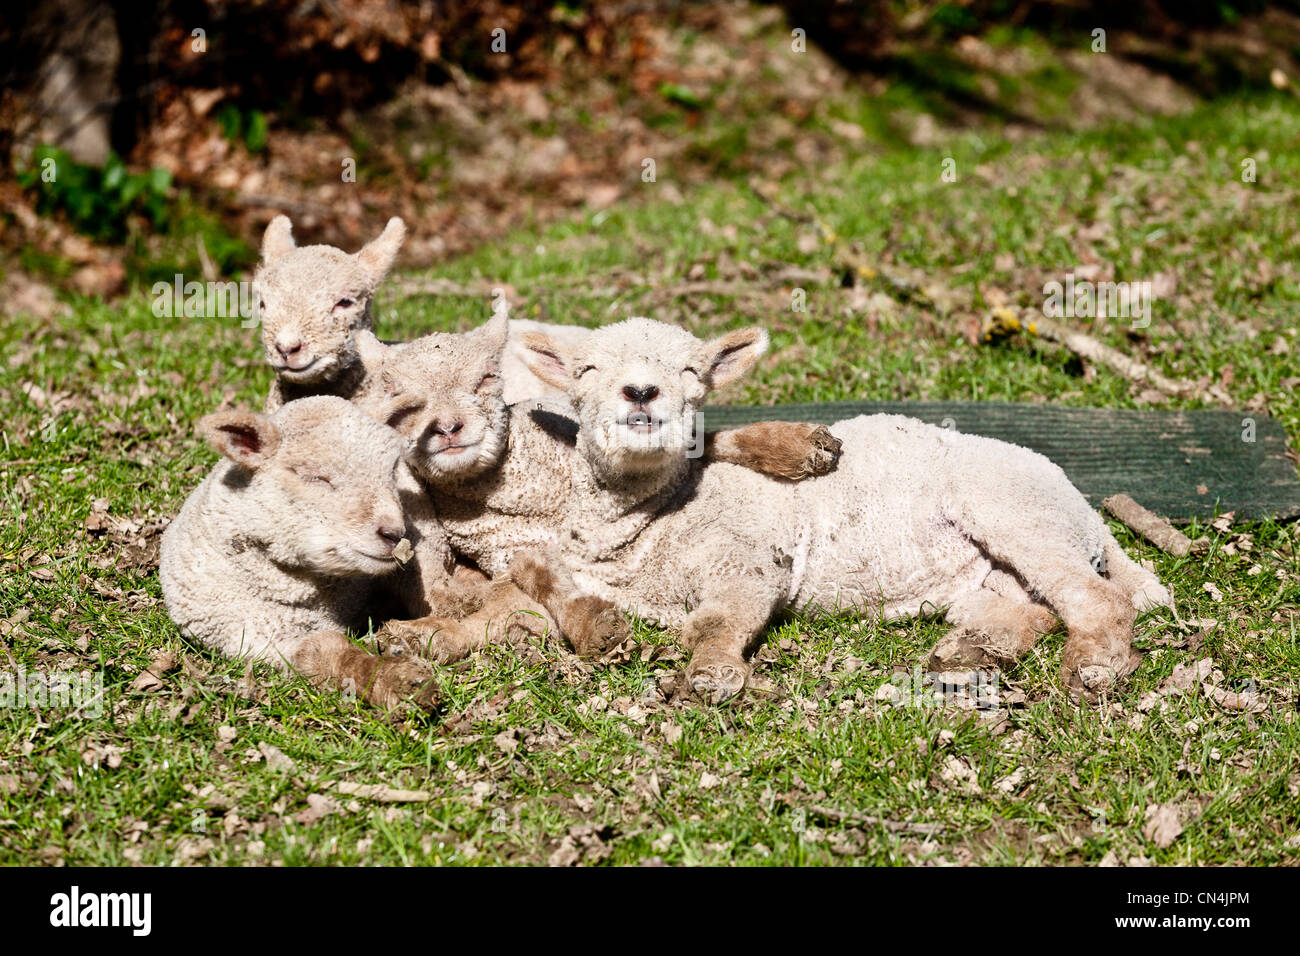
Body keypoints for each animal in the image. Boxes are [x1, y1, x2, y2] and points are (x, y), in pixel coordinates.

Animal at [158, 395, 571, 710]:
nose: (393, 532)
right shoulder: (257, 636)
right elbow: (326, 653)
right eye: (314, 477)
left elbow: (439, 595)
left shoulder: (412, 556)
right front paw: (390, 679)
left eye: (389, 472)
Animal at [507, 317, 1172, 704]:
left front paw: (710, 674)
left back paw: (1092, 668)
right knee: (1033, 605)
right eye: (587, 371)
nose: (642, 393)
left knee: (1096, 599)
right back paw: (972, 649)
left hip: (1012, 508)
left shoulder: (749, 558)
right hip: (999, 558)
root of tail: (1080, 501)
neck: (651, 520)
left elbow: (722, 619)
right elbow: (535, 574)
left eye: (694, 373)